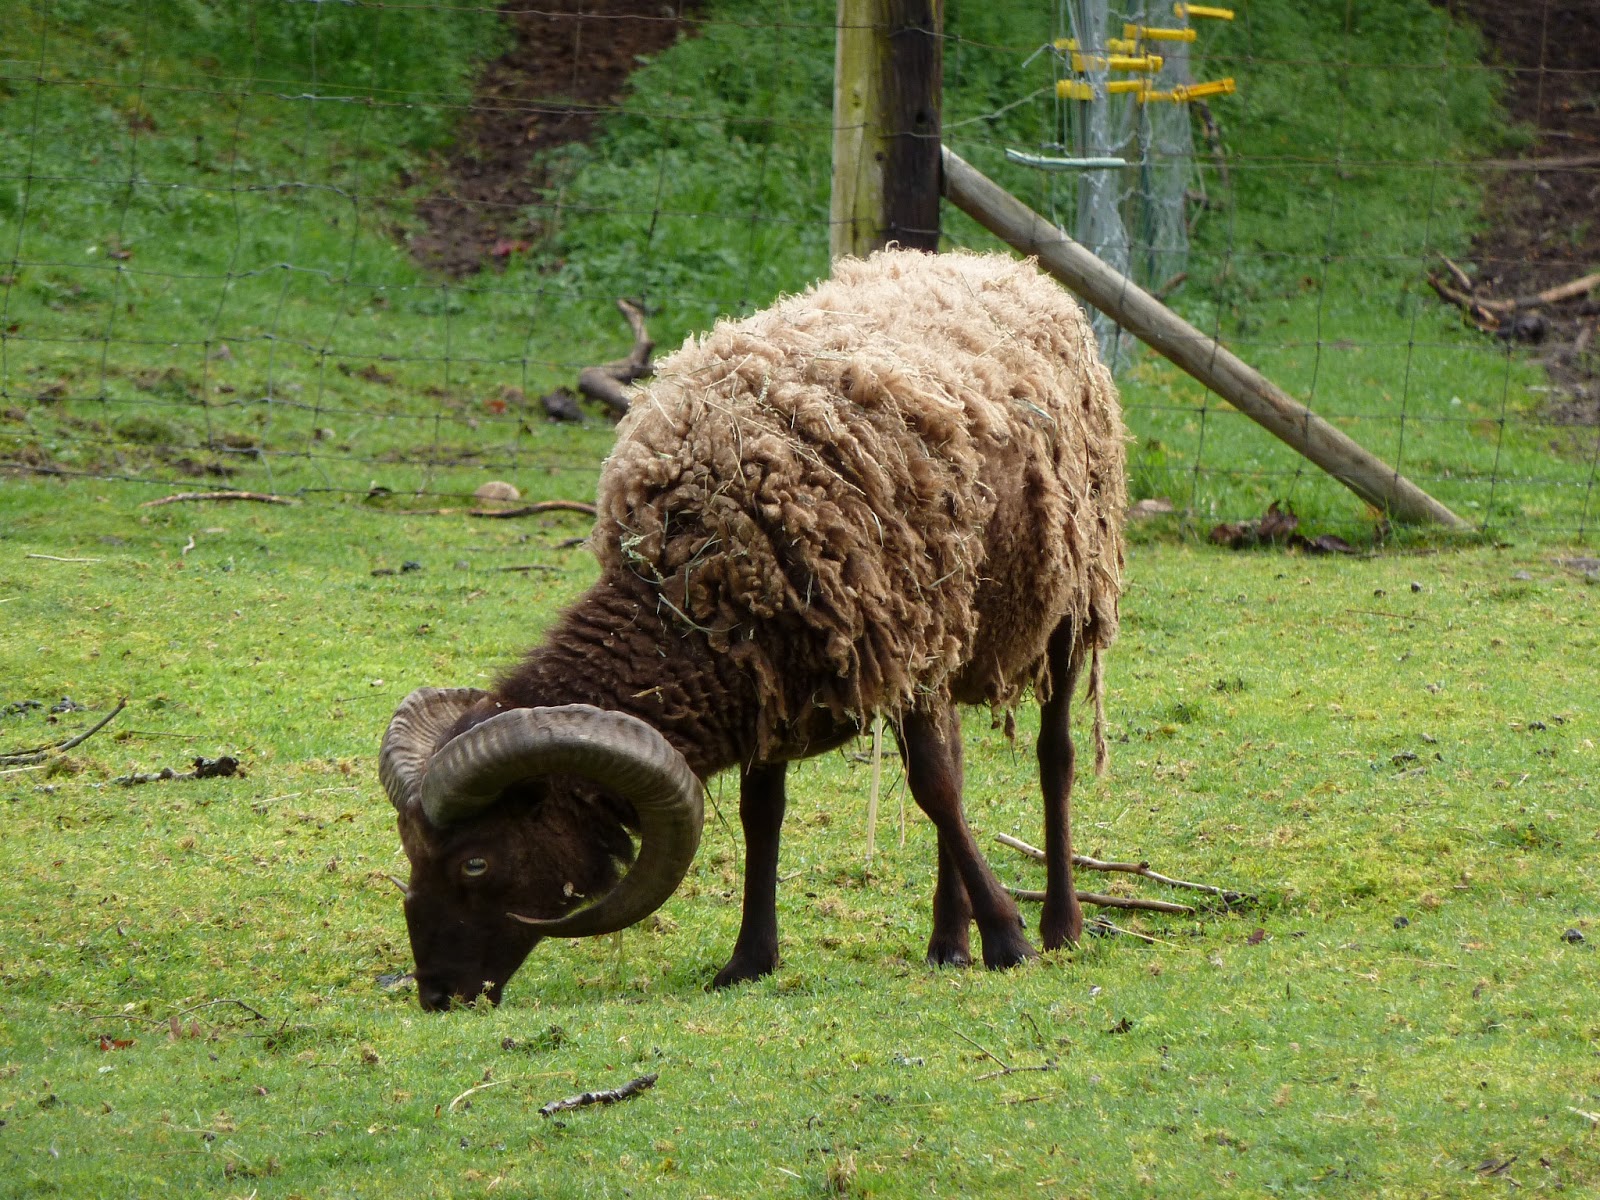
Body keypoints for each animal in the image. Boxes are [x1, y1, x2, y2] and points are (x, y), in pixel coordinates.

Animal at [379, 248, 1127, 1011]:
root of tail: (1007, 264)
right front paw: (749, 959)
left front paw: (1010, 940)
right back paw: (947, 942)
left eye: (475, 861)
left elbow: (935, 791)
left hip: (1067, 598)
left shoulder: (863, 643)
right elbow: (762, 809)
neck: (687, 583)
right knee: (955, 758)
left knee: (1053, 755)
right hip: (939, 644)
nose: (437, 992)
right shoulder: (766, 668)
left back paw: (1060, 923)